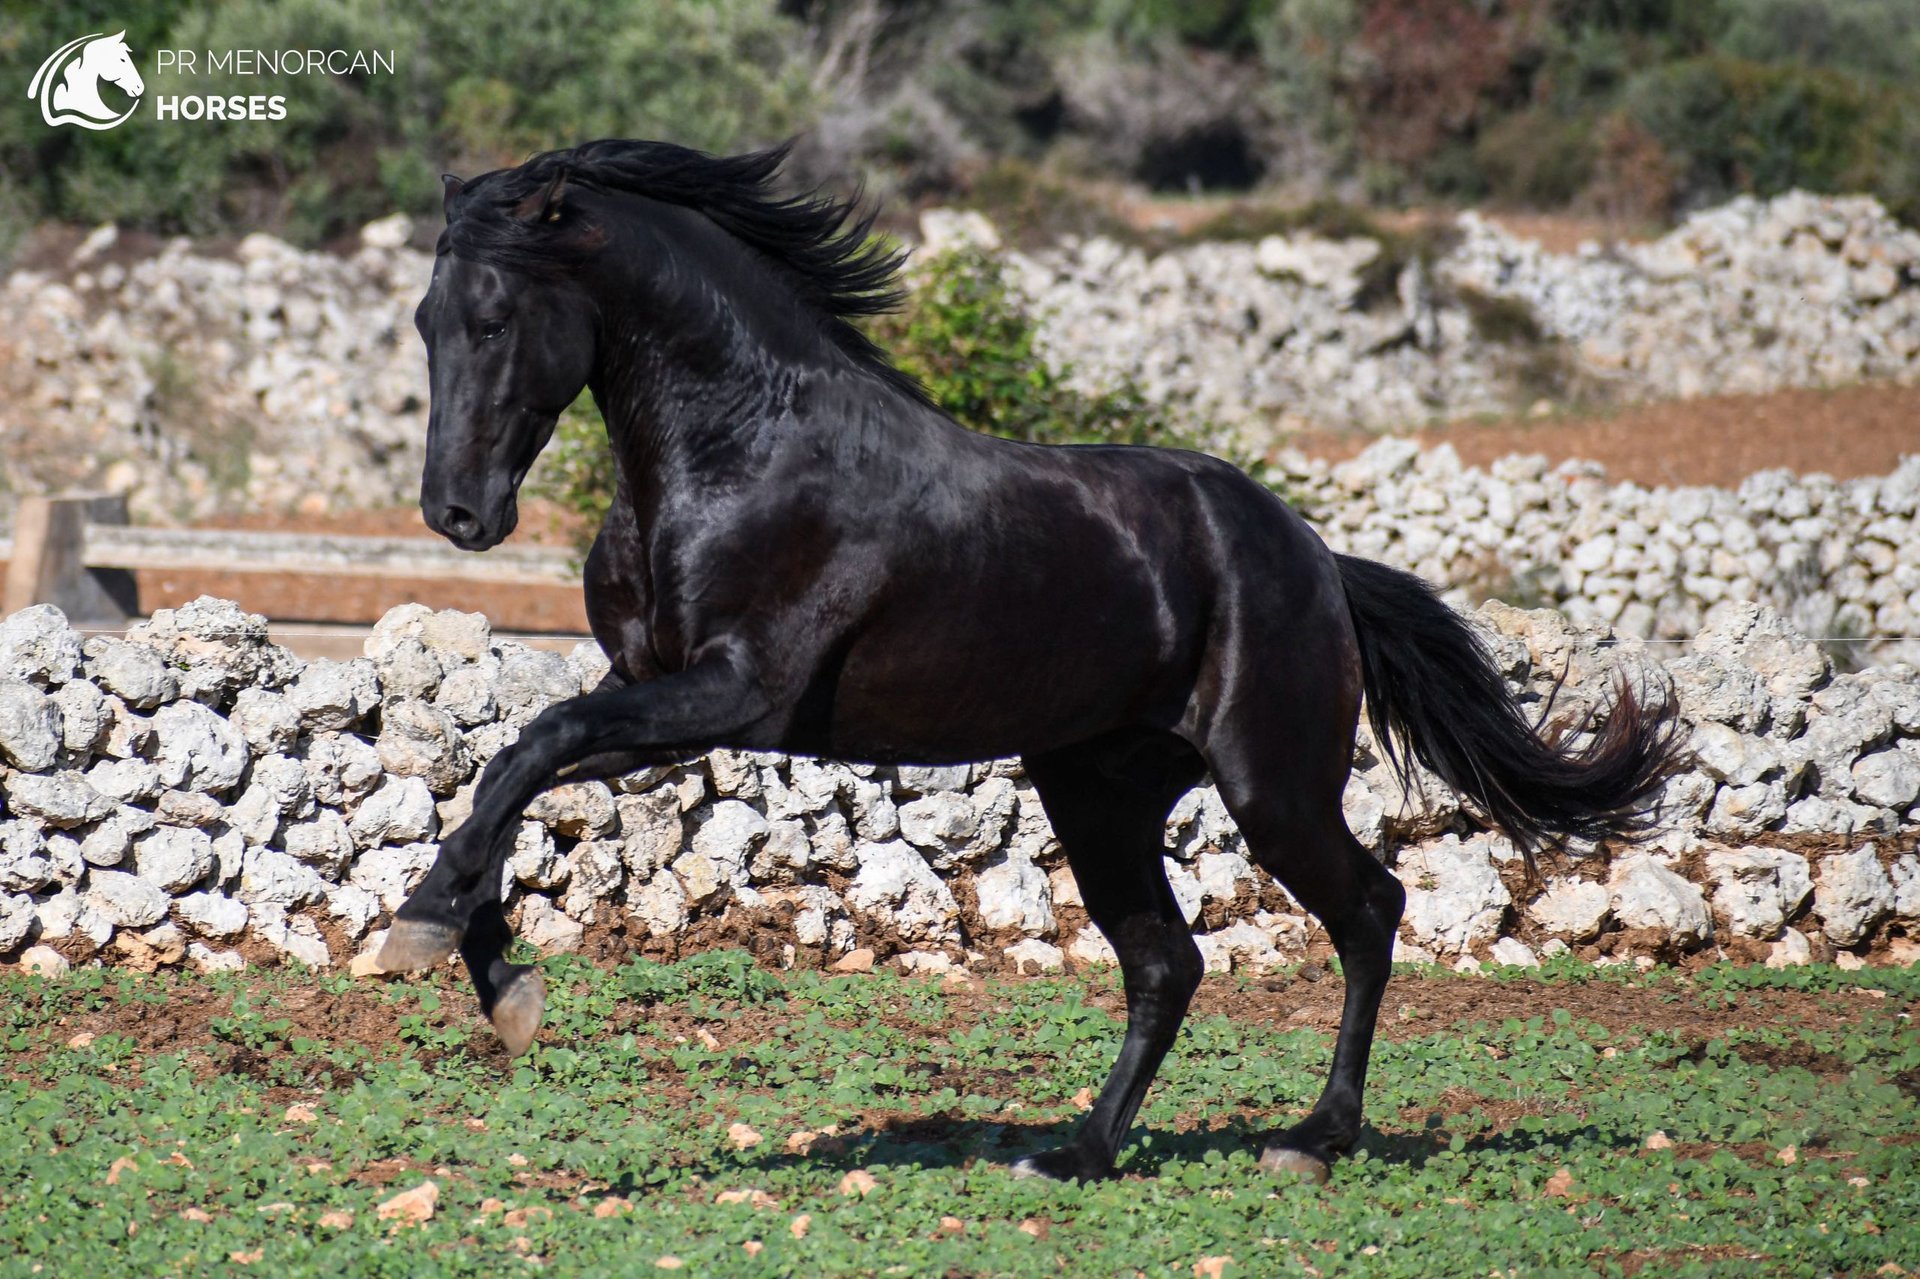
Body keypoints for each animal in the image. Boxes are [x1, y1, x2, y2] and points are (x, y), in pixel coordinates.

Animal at [376, 139, 1681, 1183]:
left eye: (493, 320)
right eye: (425, 324)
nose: (459, 513)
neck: (743, 448)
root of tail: (1314, 555)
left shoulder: (730, 696)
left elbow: (532, 749)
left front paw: (427, 925)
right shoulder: (652, 699)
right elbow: (512, 769)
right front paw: (493, 975)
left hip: (1271, 783)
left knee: (1368, 910)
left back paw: (1314, 1139)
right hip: (1100, 789)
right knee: (1166, 963)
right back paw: (1077, 1151)